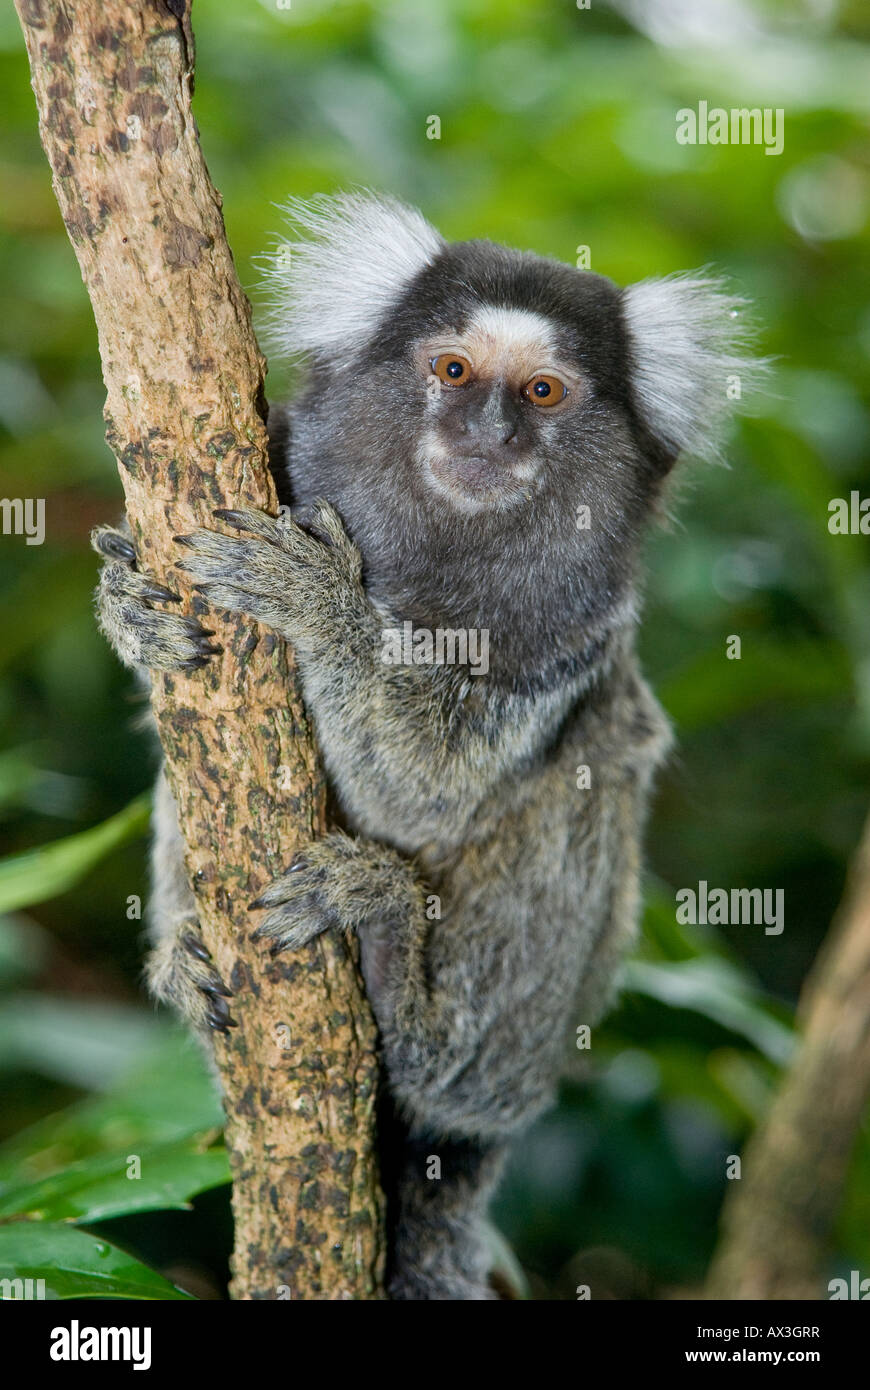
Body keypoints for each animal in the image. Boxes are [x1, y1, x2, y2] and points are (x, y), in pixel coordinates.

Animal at [91, 193, 755, 1300]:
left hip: (522, 1053)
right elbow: (166, 703)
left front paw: (323, 608)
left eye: (541, 390)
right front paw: (133, 609)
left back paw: (398, 967)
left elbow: (427, 792)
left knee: (578, 795)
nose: (485, 431)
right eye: (451, 370)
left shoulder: (568, 641)